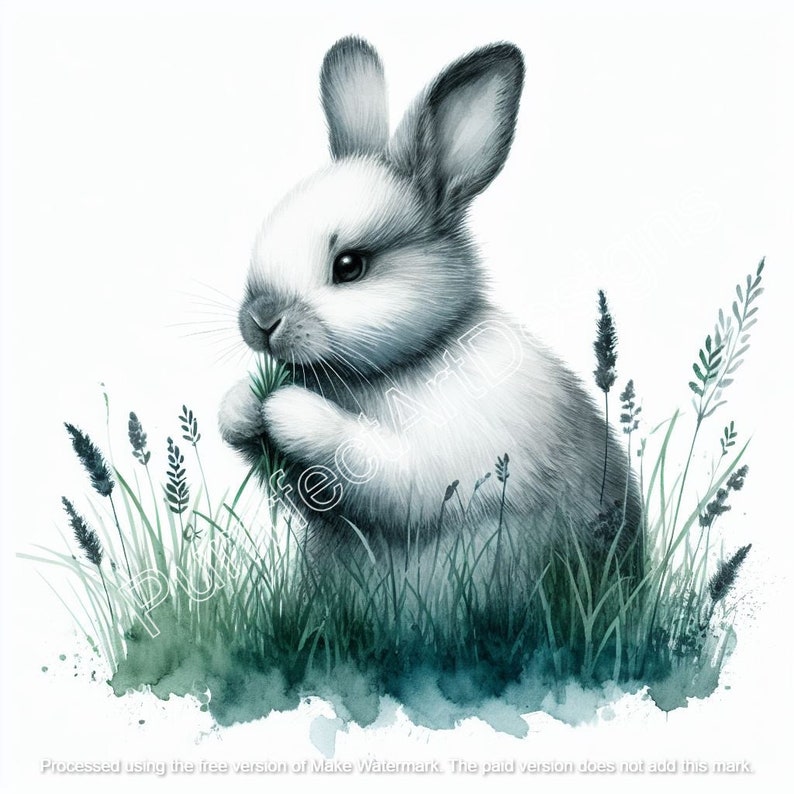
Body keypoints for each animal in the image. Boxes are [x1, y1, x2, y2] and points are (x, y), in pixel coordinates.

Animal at [218, 36, 642, 577]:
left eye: (349, 265)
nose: (260, 320)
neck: (404, 364)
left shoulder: (441, 457)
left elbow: (378, 468)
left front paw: (288, 408)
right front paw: (239, 405)